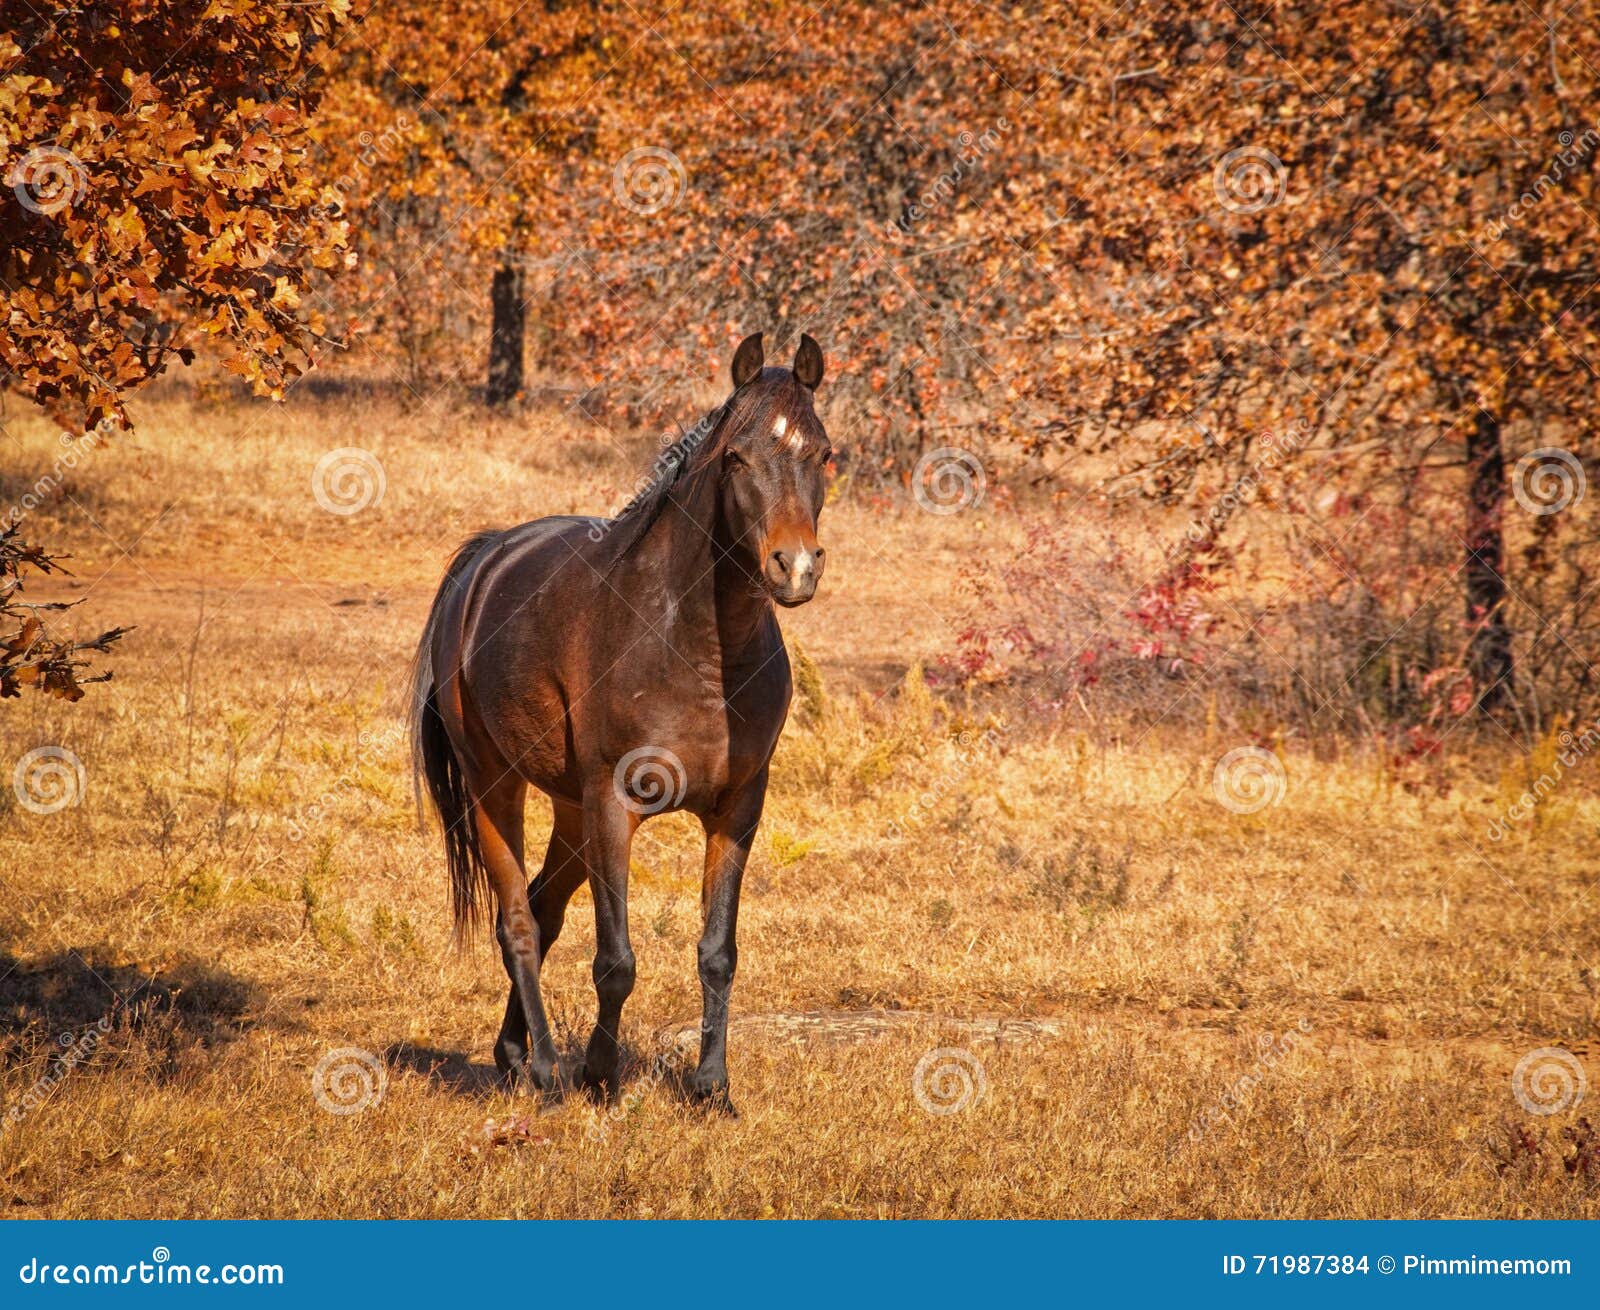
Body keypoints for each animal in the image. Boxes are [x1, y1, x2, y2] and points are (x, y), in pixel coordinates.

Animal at [409, 332, 830, 1111]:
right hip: (496, 786)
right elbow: (616, 960)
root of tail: (486, 558)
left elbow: (717, 953)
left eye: (823, 453)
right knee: (517, 922)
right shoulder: (613, 805)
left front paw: (712, 1090)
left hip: (570, 812)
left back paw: (513, 1054)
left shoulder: (737, 810)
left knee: (542, 912)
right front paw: (601, 1077)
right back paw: (547, 1071)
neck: (694, 645)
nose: (795, 567)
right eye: (736, 457)